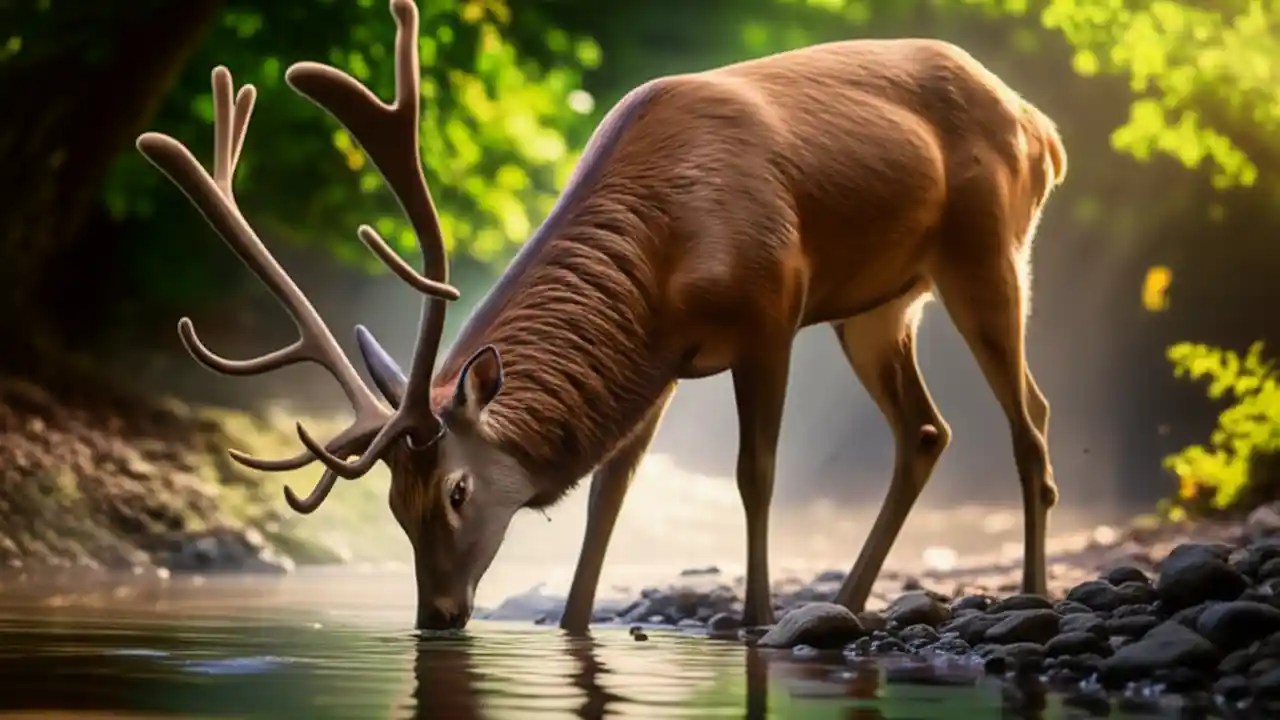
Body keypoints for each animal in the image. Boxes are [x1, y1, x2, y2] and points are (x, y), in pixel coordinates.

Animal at [136, 0, 1066, 632]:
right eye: (396, 505)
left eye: (457, 490)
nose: (437, 615)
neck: (668, 247)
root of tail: (1040, 126)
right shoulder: (661, 361)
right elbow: (609, 494)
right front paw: (575, 622)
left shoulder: (772, 307)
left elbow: (754, 473)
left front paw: (758, 619)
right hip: (878, 306)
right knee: (927, 429)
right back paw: (849, 599)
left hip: (987, 252)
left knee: (1030, 417)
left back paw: (1029, 593)